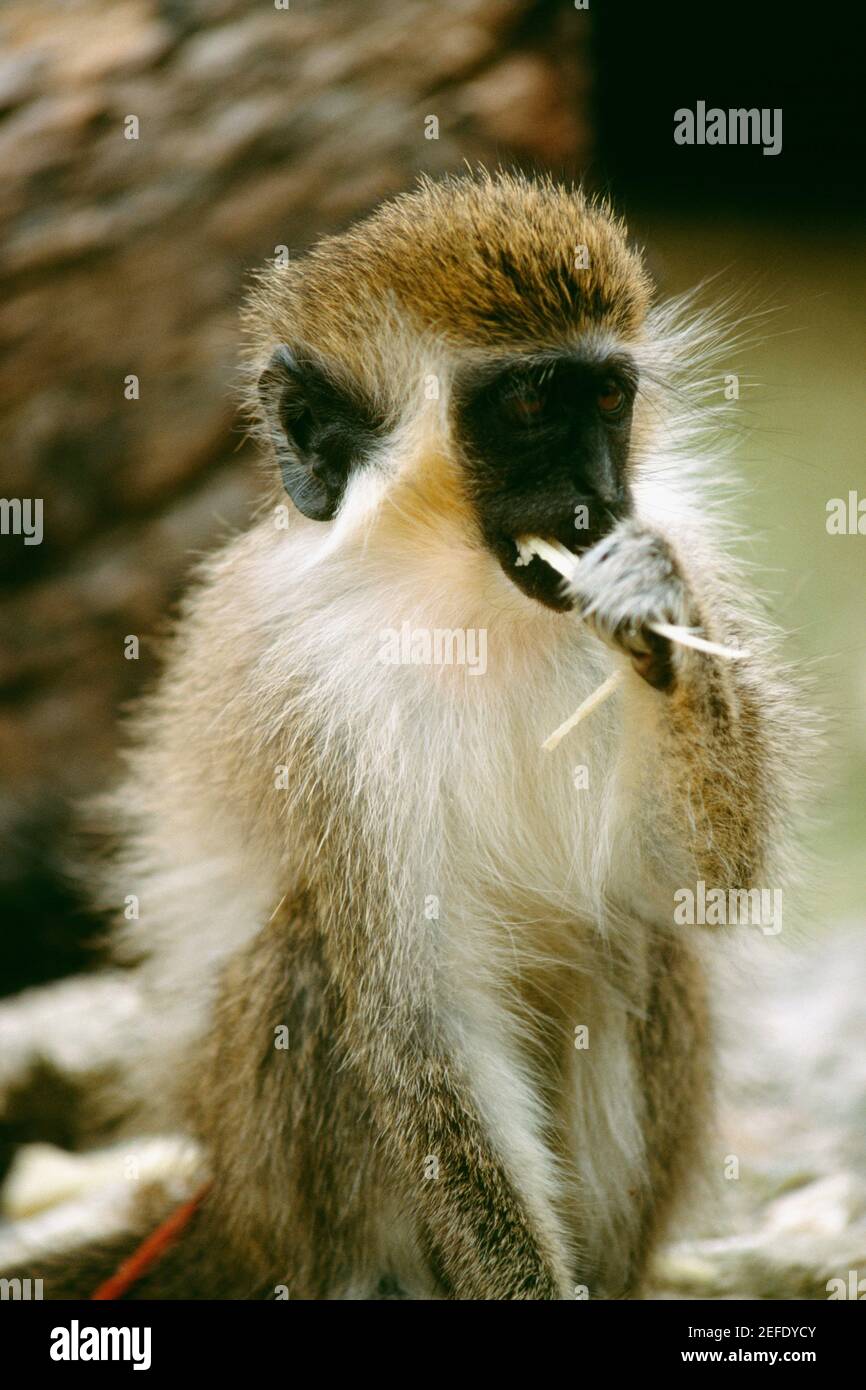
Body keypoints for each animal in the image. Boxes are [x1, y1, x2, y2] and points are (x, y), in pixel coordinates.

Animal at [0, 171, 801, 1299]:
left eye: (606, 399)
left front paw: (650, 609)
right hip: (263, 1170)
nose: (597, 505)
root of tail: (228, 1211)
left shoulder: (686, 539)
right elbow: (422, 1024)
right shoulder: (316, 700)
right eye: (526, 405)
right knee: (309, 956)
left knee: (637, 937)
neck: (463, 592)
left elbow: (707, 885)